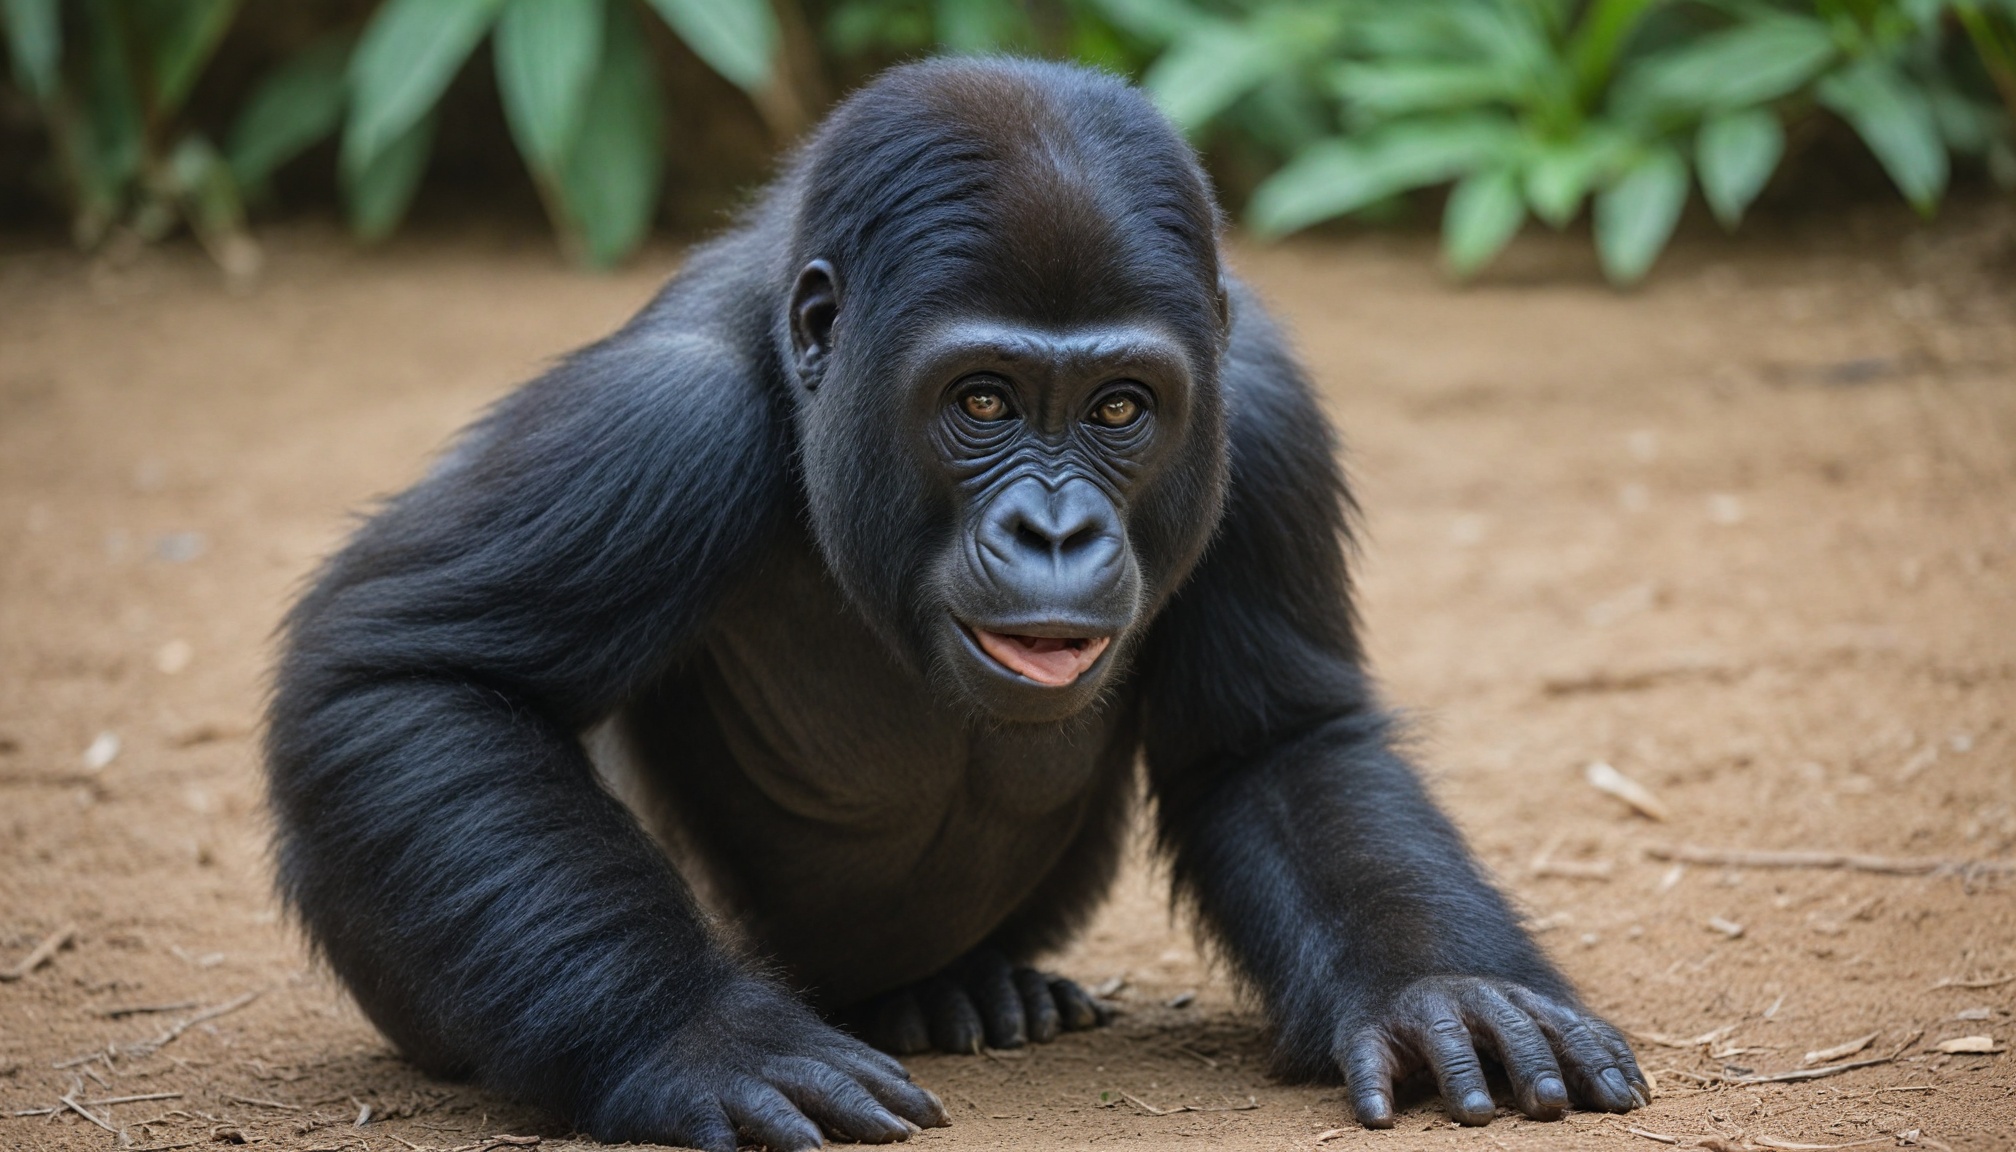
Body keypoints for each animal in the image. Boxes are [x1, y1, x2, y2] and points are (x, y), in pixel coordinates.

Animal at [268, 56, 1645, 1152]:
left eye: (1121, 409)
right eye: (982, 400)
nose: (1056, 530)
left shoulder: (1261, 414)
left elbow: (1276, 742)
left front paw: (1439, 989)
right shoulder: (655, 422)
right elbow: (415, 682)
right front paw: (696, 1038)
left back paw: (963, 987)